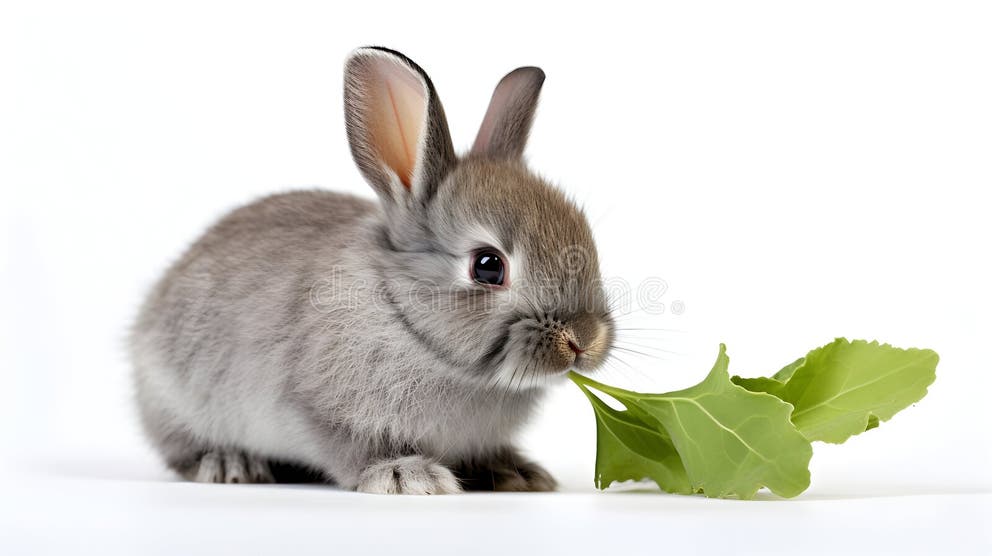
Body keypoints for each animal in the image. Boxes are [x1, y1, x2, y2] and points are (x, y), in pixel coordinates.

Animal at [129, 46, 615, 494]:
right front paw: (407, 476)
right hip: (174, 401)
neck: (406, 321)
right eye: (488, 266)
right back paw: (231, 465)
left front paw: (519, 473)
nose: (583, 340)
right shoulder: (318, 409)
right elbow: (354, 449)